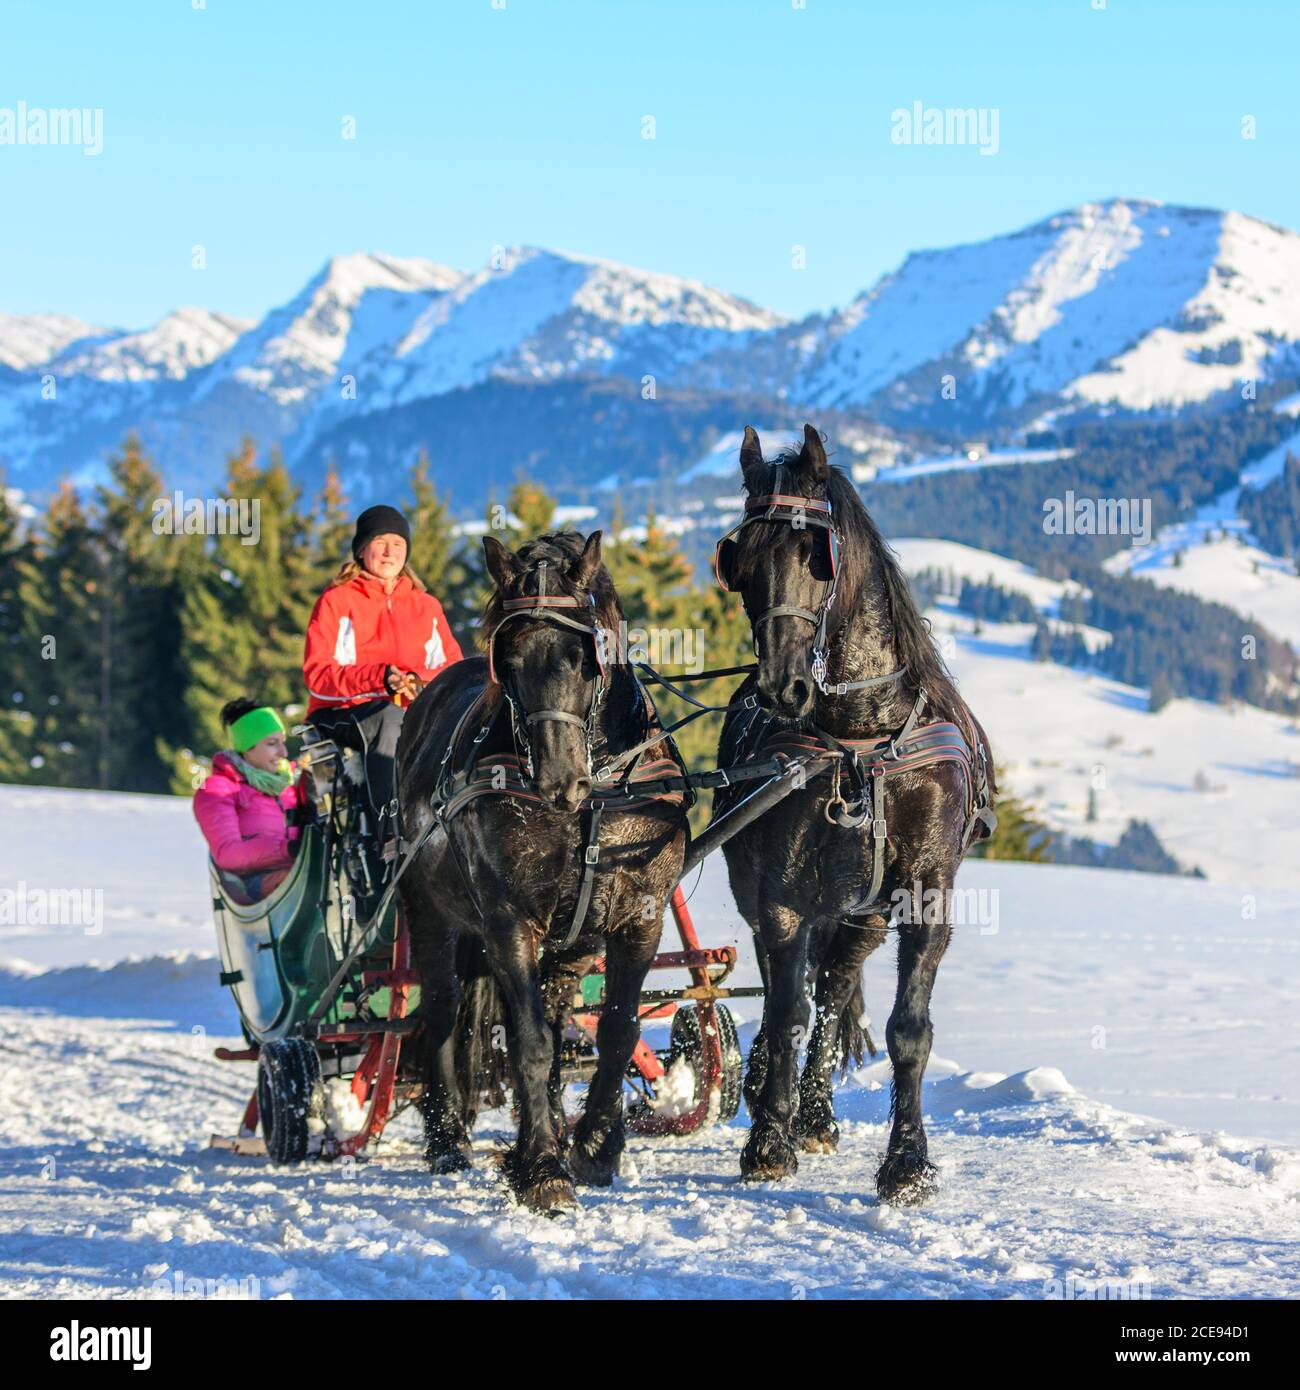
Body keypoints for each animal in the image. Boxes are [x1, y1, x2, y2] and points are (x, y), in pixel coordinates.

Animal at [395, 530, 688, 1213]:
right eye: (508, 659)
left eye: (586, 655)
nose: (560, 783)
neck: (599, 791)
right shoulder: (509, 920)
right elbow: (526, 1042)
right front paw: (543, 1170)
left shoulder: (639, 917)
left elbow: (615, 1031)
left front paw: (594, 1147)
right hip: (432, 915)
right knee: (443, 1013)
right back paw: (448, 1140)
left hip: (569, 944)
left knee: (556, 1020)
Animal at [712, 424, 996, 1204]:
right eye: (741, 560)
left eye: (818, 553)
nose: (782, 688)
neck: (862, 736)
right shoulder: (780, 896)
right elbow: (786, 1011)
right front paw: (767, 1141)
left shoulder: (927, 890)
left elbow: (906, 1029)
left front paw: (906, 1164)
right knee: (799, 992)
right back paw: (776, 1098)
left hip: (863, 912)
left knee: (838, 987)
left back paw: (816, 1113)